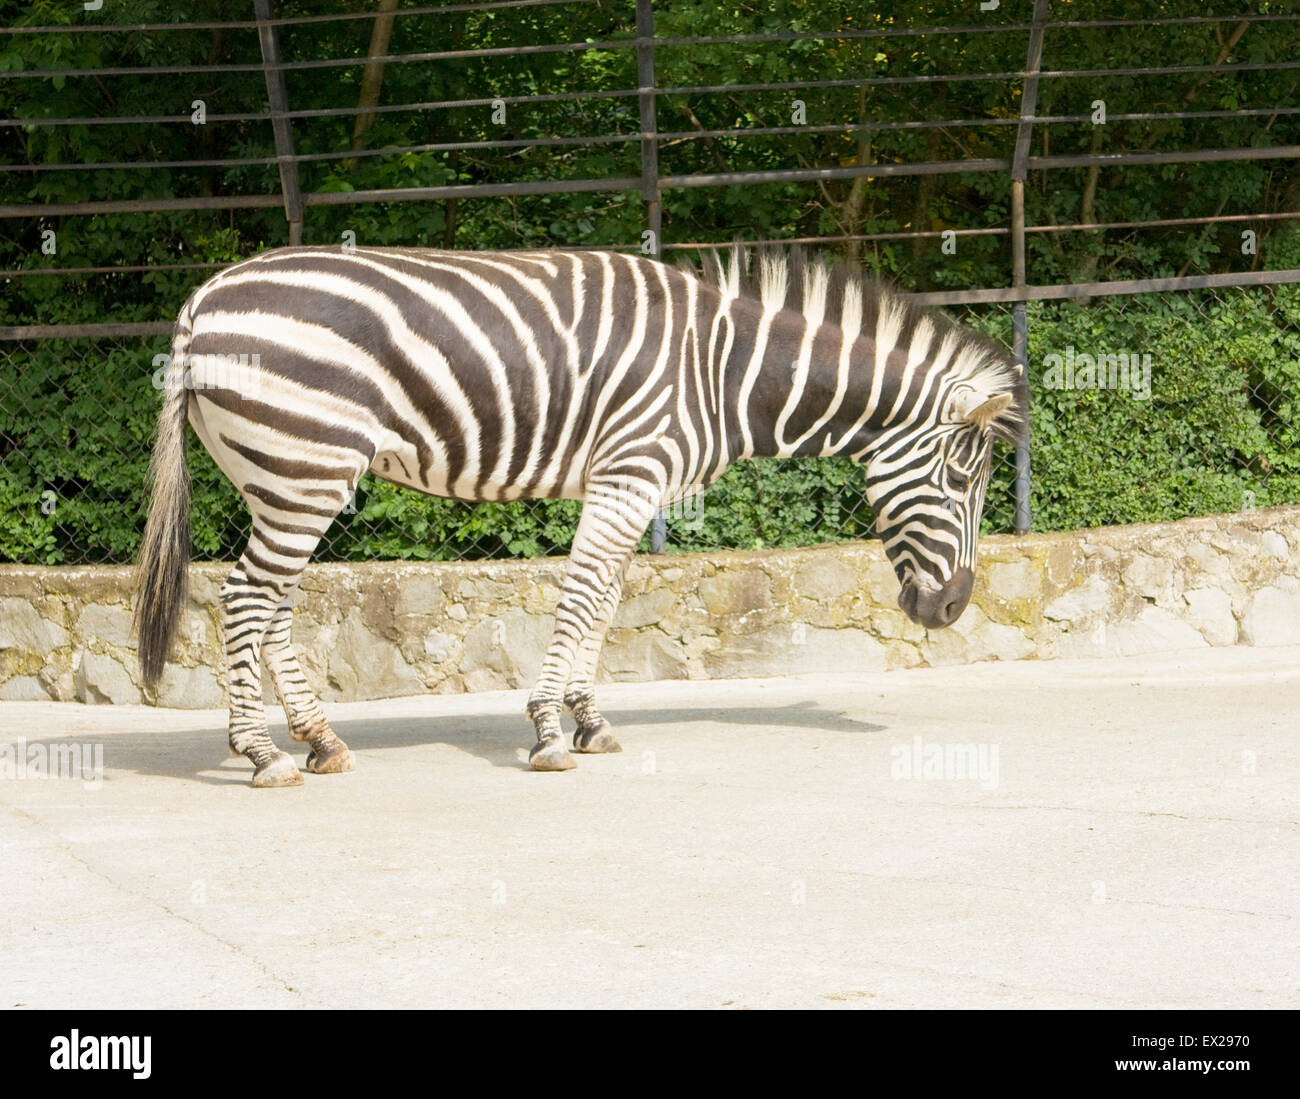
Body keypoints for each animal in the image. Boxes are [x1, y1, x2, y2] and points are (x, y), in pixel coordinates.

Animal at [134, 245, 1026, 786]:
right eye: (961, 478)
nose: (952, 608)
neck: (725, 370)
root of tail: (204, 297)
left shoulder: (629, 482)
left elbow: (605, 601)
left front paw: (588, 720)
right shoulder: (629, 470)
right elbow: (581, 597)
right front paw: (549, 732)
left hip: (286, 476)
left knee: (272, 605)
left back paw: (318, 739)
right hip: (306, 466)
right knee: (244, 598)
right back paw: (261, 754)